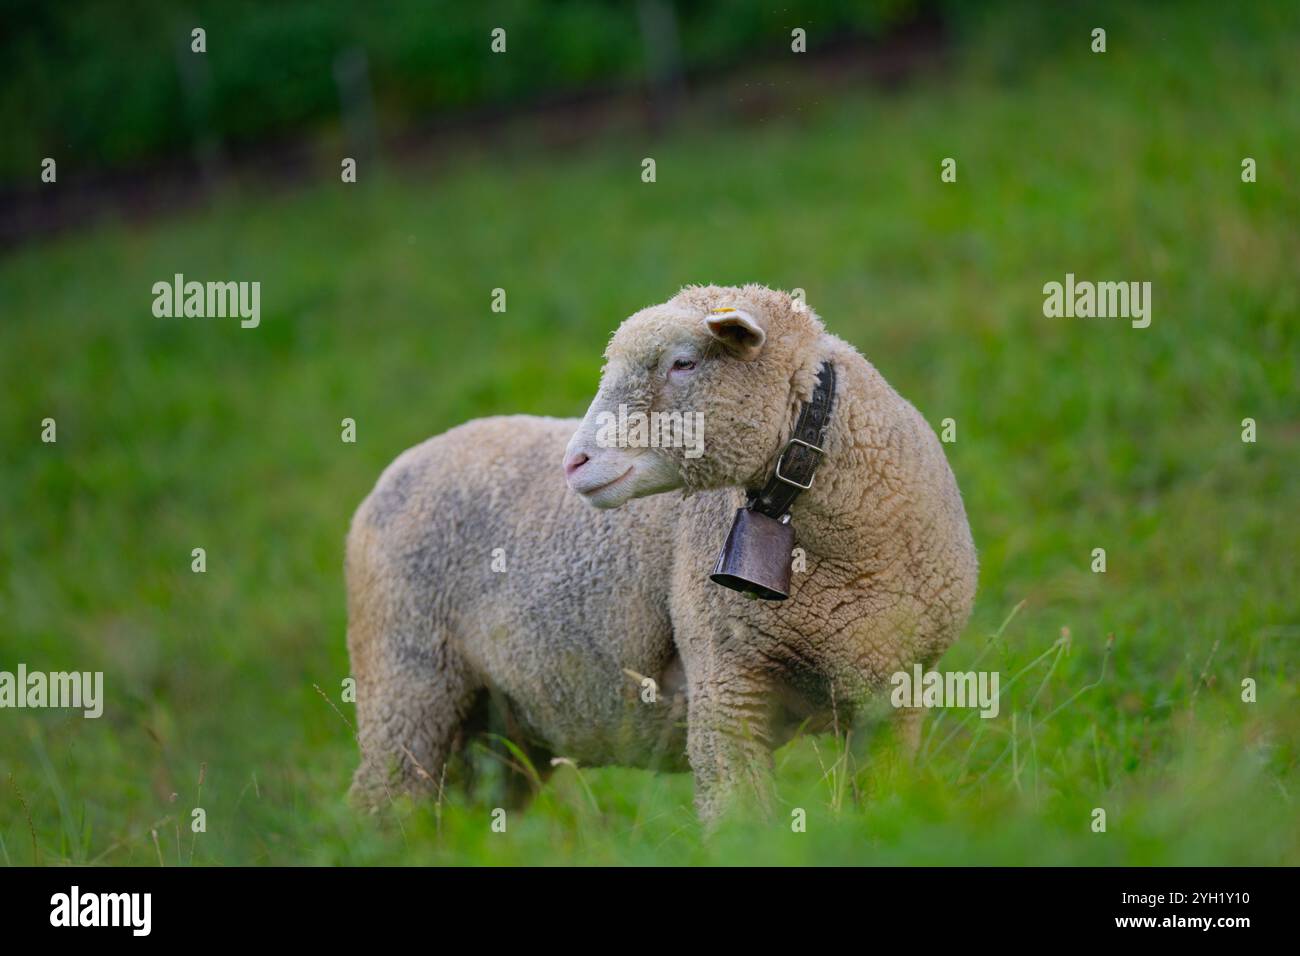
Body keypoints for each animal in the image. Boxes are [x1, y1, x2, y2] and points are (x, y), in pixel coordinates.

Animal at [345, 283, 977, 821]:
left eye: (684, 363)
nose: (574, 463)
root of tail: (400, 465)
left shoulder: (894, 698)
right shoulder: (724, 685)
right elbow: (742, 819)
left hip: (500, 725)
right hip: (406, 678)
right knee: (382, 804)